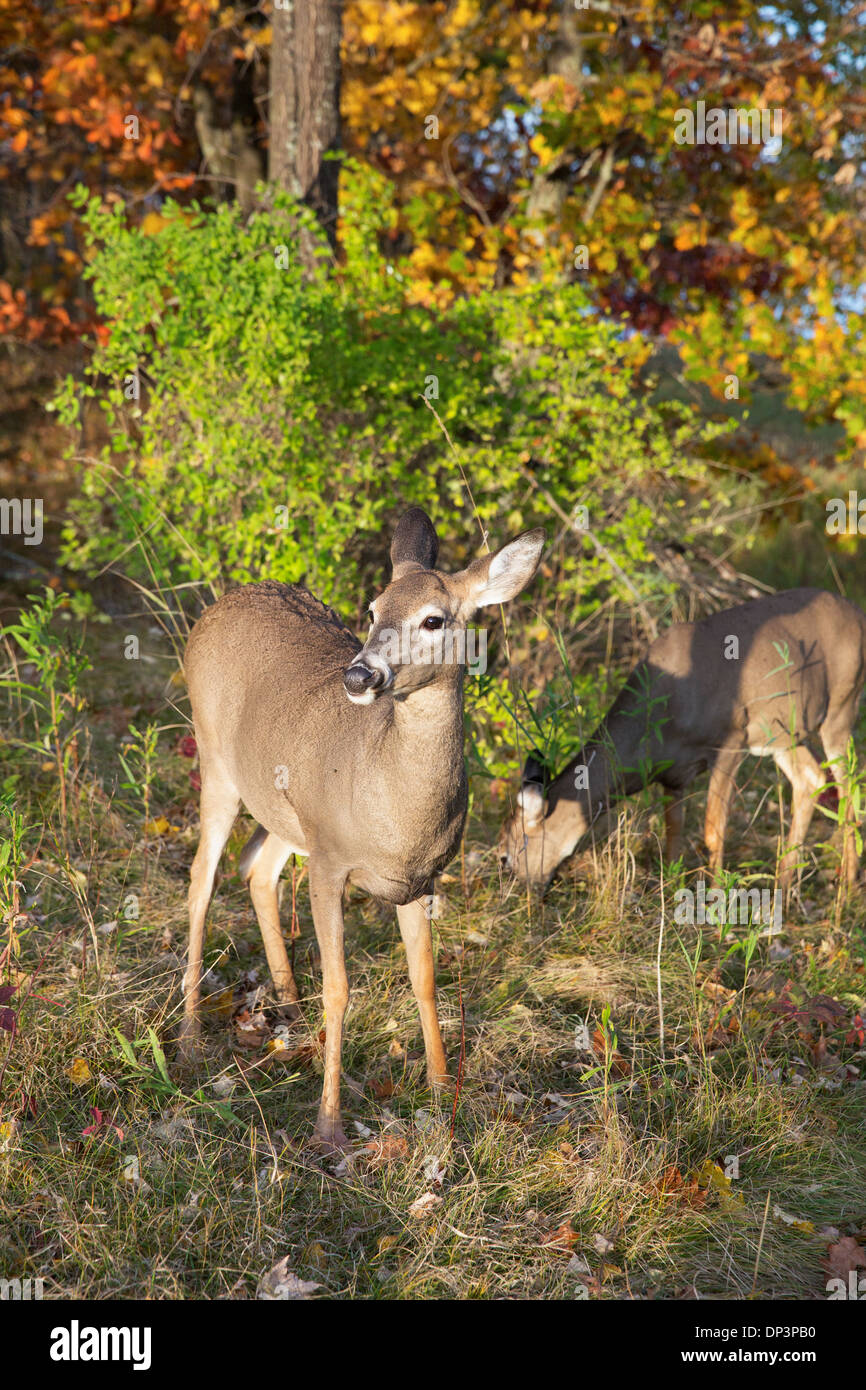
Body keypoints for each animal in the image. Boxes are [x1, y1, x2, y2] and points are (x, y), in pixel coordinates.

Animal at [181, 508, 545, 1150]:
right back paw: (190, 1040)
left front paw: (440, 1089)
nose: (359, 675)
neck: (395, 809)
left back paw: (287, 1006)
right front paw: (328, 1128)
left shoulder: (420, 878)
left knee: (256, 868)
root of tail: (227, 600)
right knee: (202, 880)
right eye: (372, 610)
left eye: (433, 619)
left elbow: (425, 978)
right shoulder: (330, 863)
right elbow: (340, 988)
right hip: (217, 762)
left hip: (287, 808)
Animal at [500, 588, 866, 897]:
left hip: (840, 709)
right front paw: (670, 884)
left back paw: (847, 885)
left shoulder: (732, 739)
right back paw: (785, 884)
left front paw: (716, 899)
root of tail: (856, 610)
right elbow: (673, 830)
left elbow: (712, 831)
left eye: (509, 853)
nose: (523, 895)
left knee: (848, 785)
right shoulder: (672, 774)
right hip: (784, 734)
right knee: (811, 779)